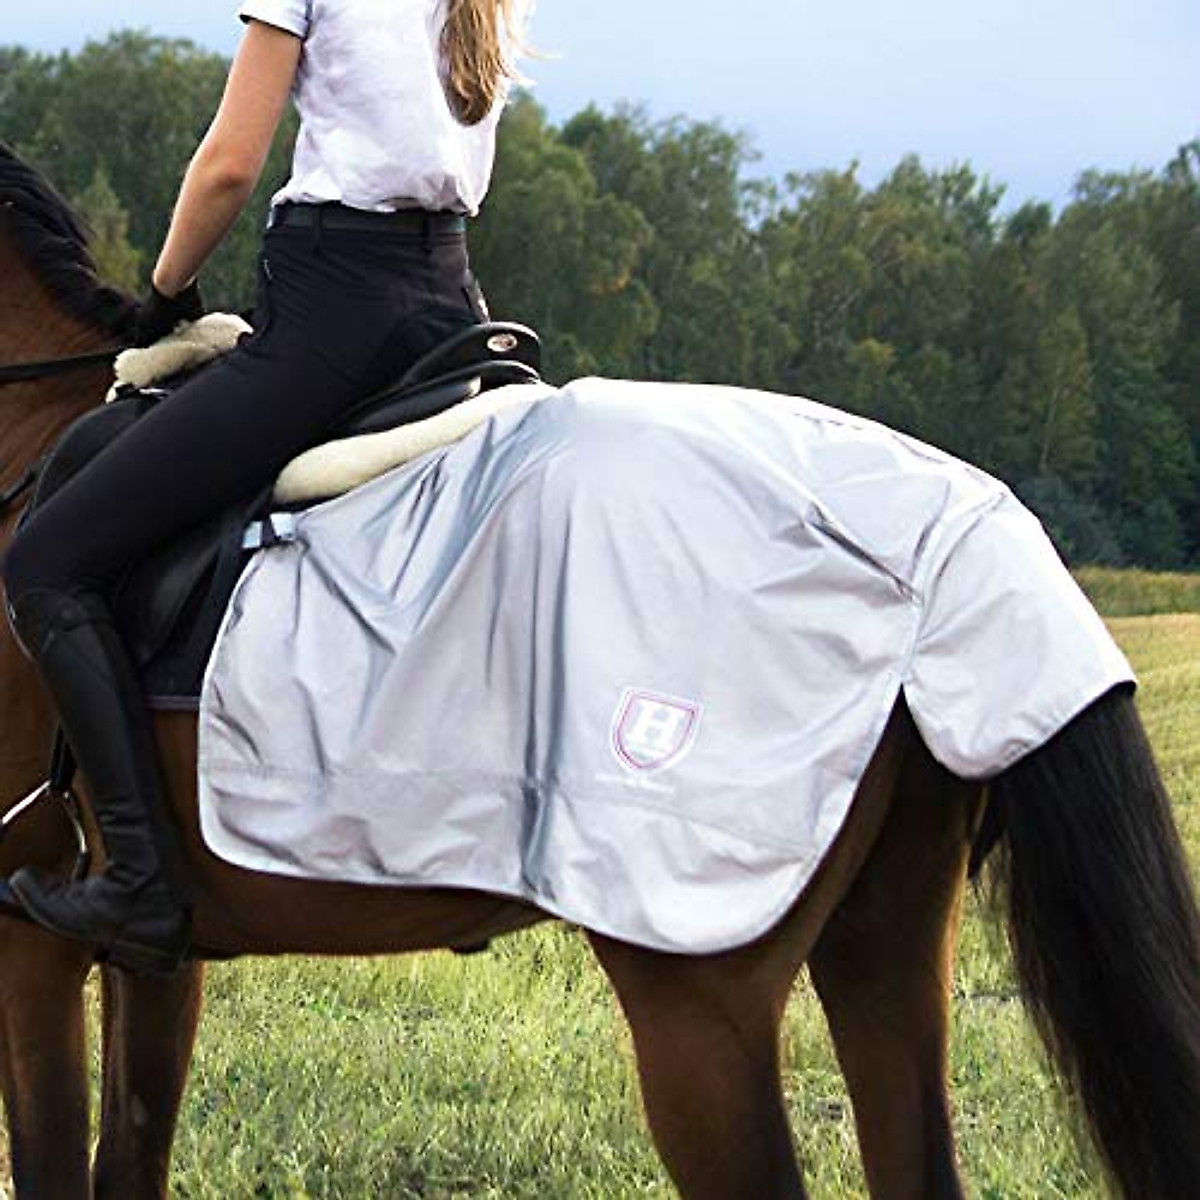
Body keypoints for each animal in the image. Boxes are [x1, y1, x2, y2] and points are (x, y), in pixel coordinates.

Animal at [0, 142, 1196, 1200]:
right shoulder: (156, 959)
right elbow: (128, 1161)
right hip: (890, 938)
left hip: (699, 991)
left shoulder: (35, 943)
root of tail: (928, 541)